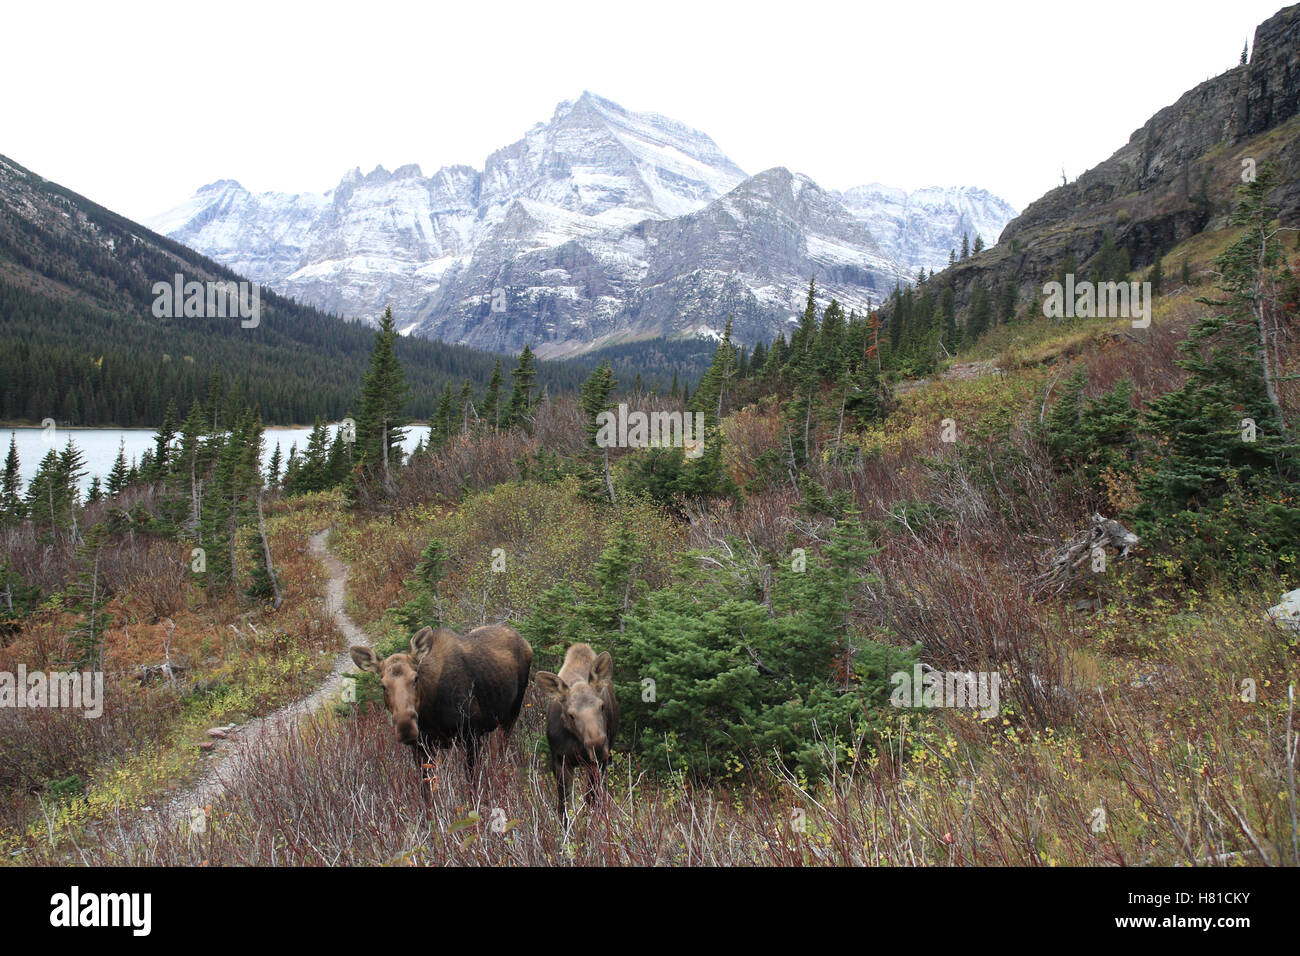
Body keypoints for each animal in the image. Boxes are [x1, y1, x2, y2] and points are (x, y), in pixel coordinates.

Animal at [350, 624, 533, 783]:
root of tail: (525, 641)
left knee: (501, 752)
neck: (431, 713)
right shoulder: (421, 747)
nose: (406, 727)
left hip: (511, 715)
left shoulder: (471, 736)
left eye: (415, 678)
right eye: (383, 685)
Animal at [534, 643, 618, 822]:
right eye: (571, 715)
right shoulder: (559, 759)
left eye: (602, 706)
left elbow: (590, 800)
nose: (597, 746)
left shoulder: (596, 763)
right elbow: (563, 806)